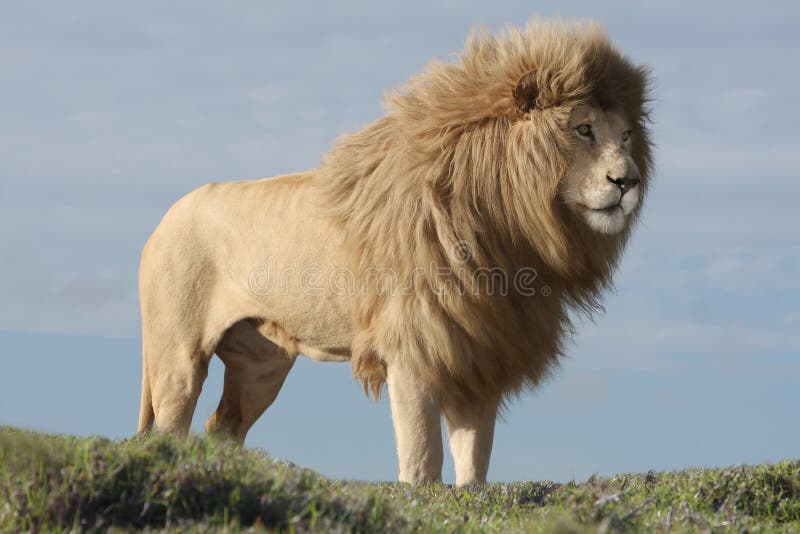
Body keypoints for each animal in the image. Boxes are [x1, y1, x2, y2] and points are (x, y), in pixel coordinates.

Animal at [137, 19, 653, 487]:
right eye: (583, 130)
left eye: (626, 137)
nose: (628, 181)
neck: (512, 226)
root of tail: (160, 224)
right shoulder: (413, 348)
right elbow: (423, 455)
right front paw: (421, 497)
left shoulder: (482, 350)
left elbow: (475, 459)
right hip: (178, 354)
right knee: (171, 426)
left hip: (262, 363)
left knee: (222, 425)